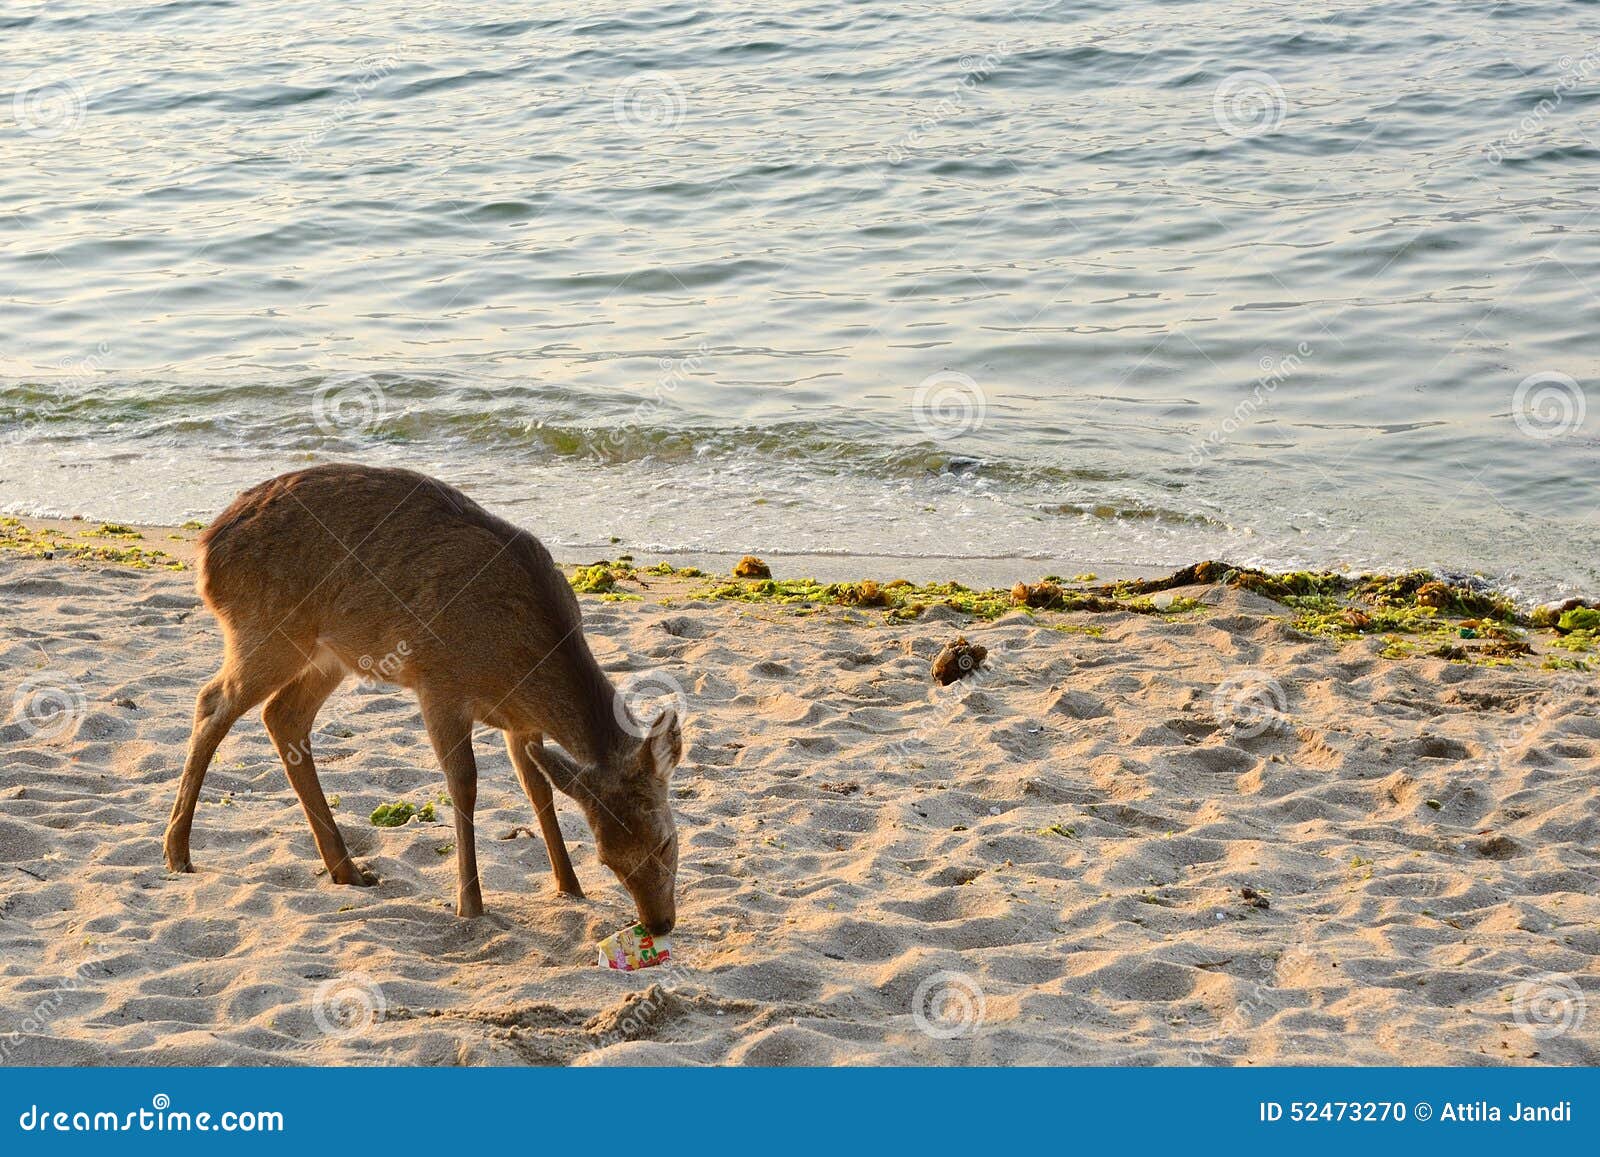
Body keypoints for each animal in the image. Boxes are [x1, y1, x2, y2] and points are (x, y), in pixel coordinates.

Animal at [161, 464, 681, 935]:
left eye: (666, 841)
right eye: (607, 856)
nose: (658, 924)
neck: (517, 662)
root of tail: (205, 552)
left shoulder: (522, 722)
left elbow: (538, 788)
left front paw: (569, 887)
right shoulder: (439, 686)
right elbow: (464, 783)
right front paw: (470, 905)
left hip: (328, 654)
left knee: (282, 716)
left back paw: (347, 869)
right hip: (266, 631)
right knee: (212, 701)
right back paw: (177, 852)